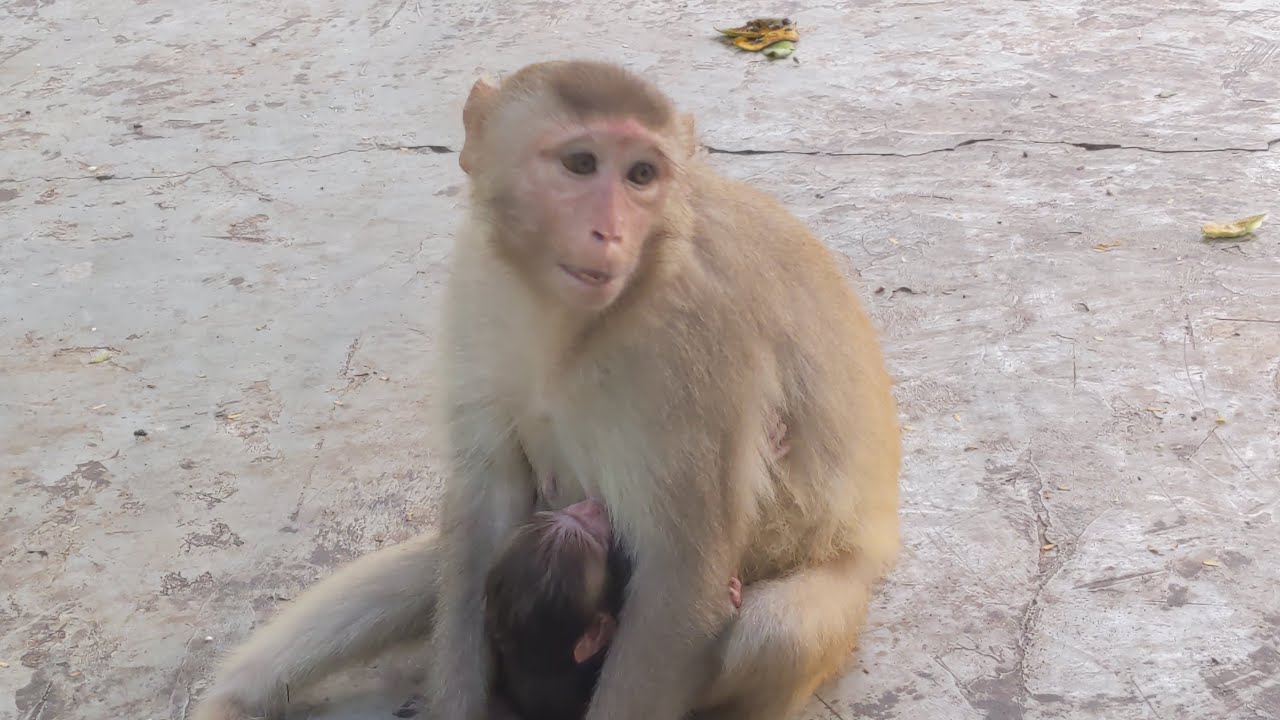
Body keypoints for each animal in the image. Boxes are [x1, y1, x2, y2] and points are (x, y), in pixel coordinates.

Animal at [191, 60, 900, 720]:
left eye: (642, 175)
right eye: (581, 163)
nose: (610, 232)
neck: (569, 319)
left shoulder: (698, 340)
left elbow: (680, 578)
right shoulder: (479, 276)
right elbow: (486, 504)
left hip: (841, 582)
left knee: (775, 631)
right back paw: (234, 697)